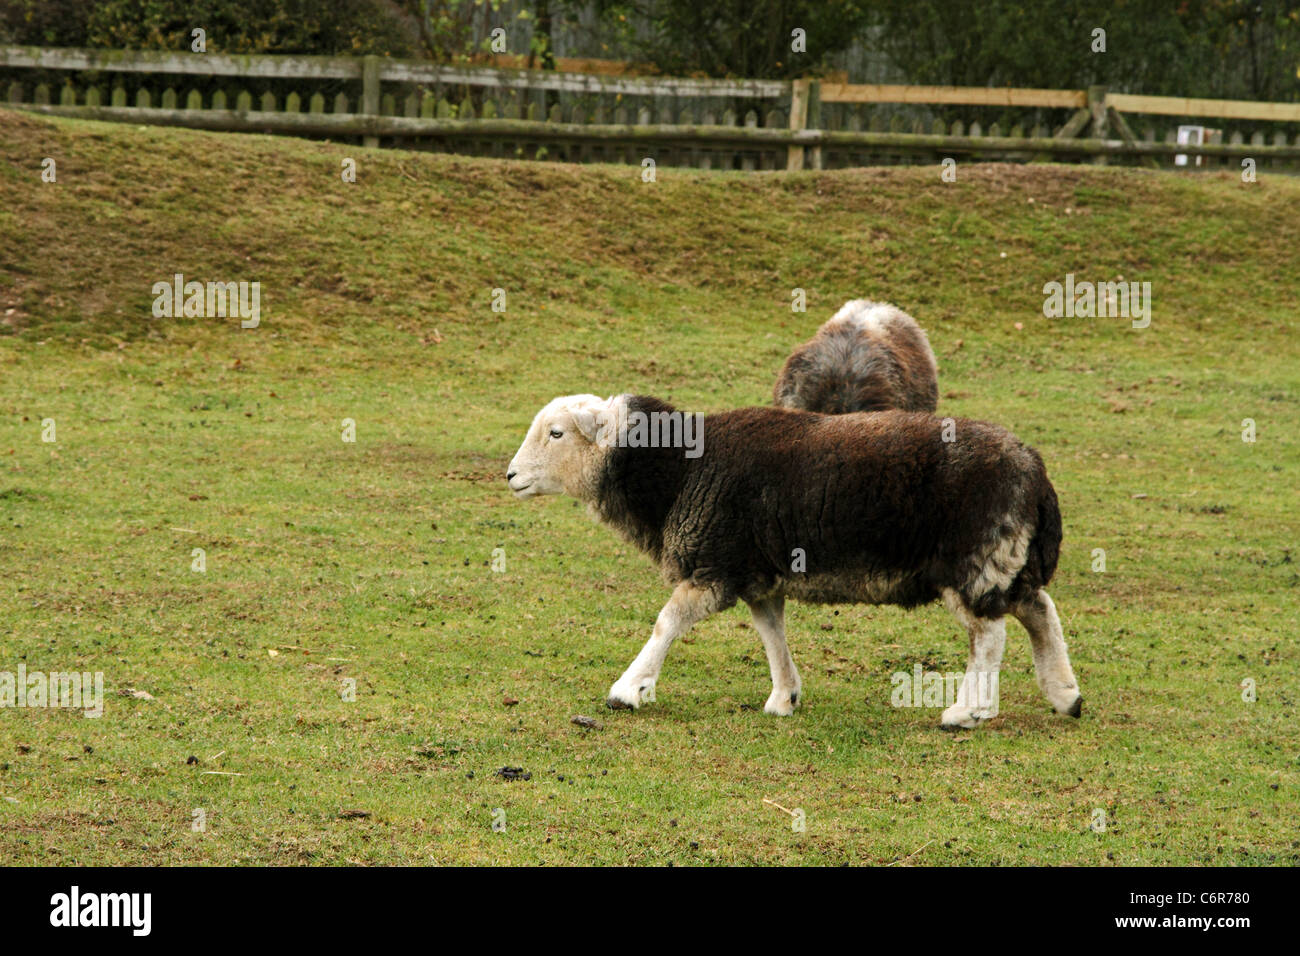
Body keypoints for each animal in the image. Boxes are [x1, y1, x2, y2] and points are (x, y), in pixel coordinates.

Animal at [506, 393, 1082, 729]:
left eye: (556, 433)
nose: (510, 476)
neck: (678, 472)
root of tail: (1035, 470)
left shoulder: (715, 568)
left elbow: (667, 622)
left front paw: (629, 689)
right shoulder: (757, 576)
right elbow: (771, 634)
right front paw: (785, 696)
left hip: (974, 558)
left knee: (991, 635)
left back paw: (967, 711)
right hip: (1008, 556)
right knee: (1039, 611)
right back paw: (1065, 695)